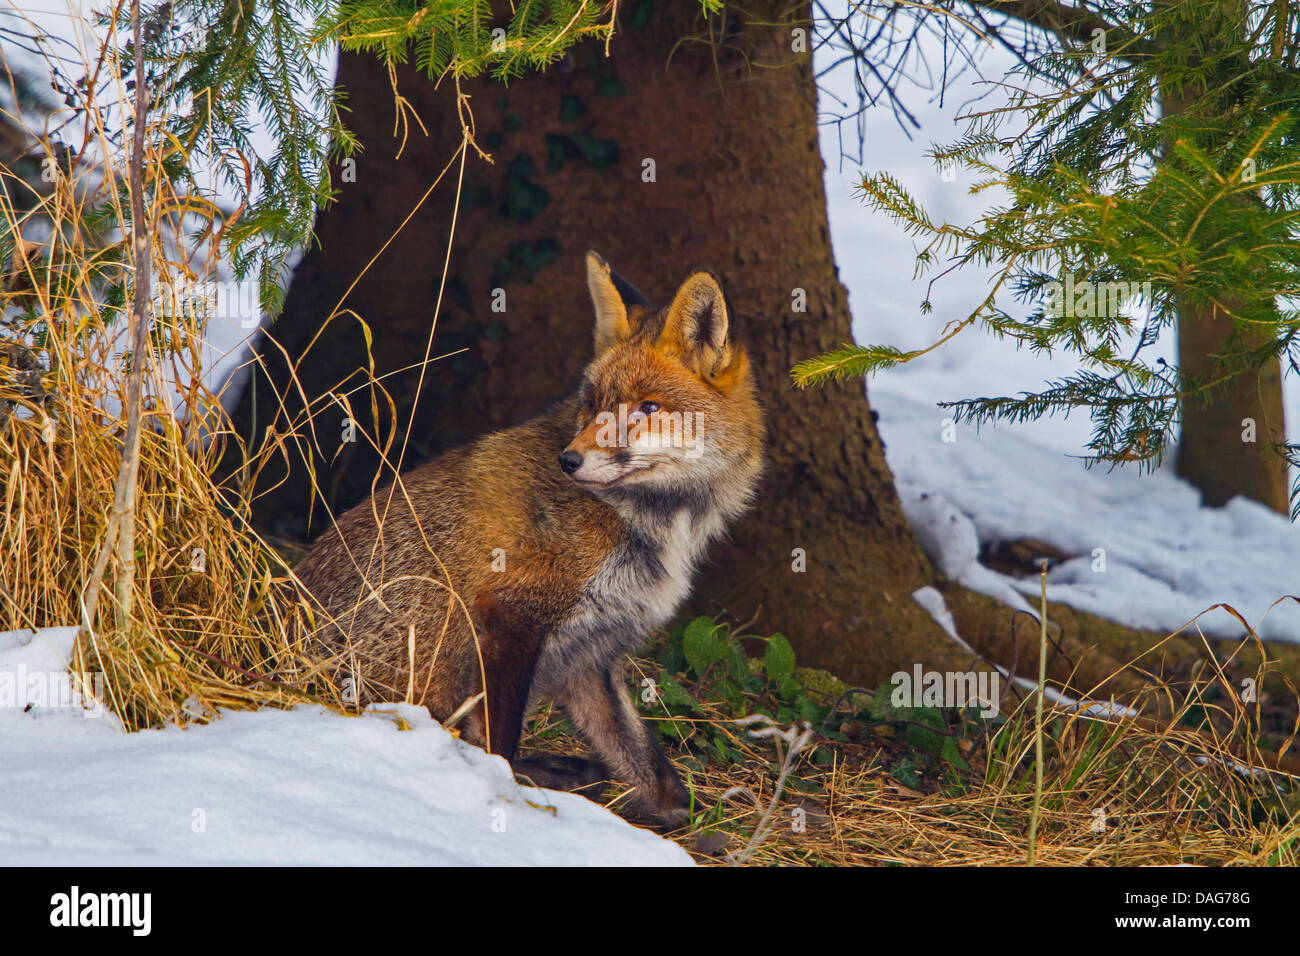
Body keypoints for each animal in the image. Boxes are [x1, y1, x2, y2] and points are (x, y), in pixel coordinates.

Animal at [293, 251, 764, 825]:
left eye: (648, 408)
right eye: (592, 403)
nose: (570, 460)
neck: (647, 523)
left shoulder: (588, 653)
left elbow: (641, 755)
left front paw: (678, 813)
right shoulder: (510, 612)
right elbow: (501, 740)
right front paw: (507, 799)